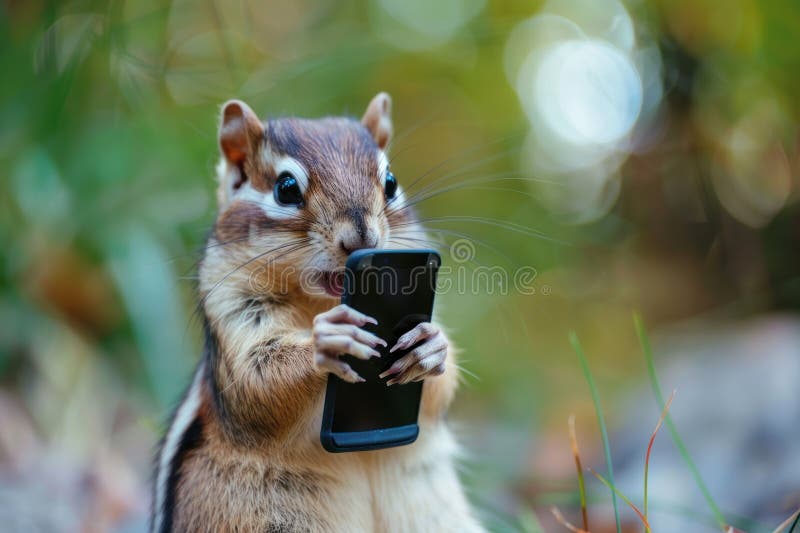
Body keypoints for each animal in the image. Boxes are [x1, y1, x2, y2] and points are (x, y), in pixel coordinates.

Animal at [150, 93, 484, 533]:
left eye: (391, 183)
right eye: (286, 188)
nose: (363, 238)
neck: (318, 303)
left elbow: (438, 395)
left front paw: (431, 346)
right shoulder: (233, 310)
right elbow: (257, 380)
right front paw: (326, 342)